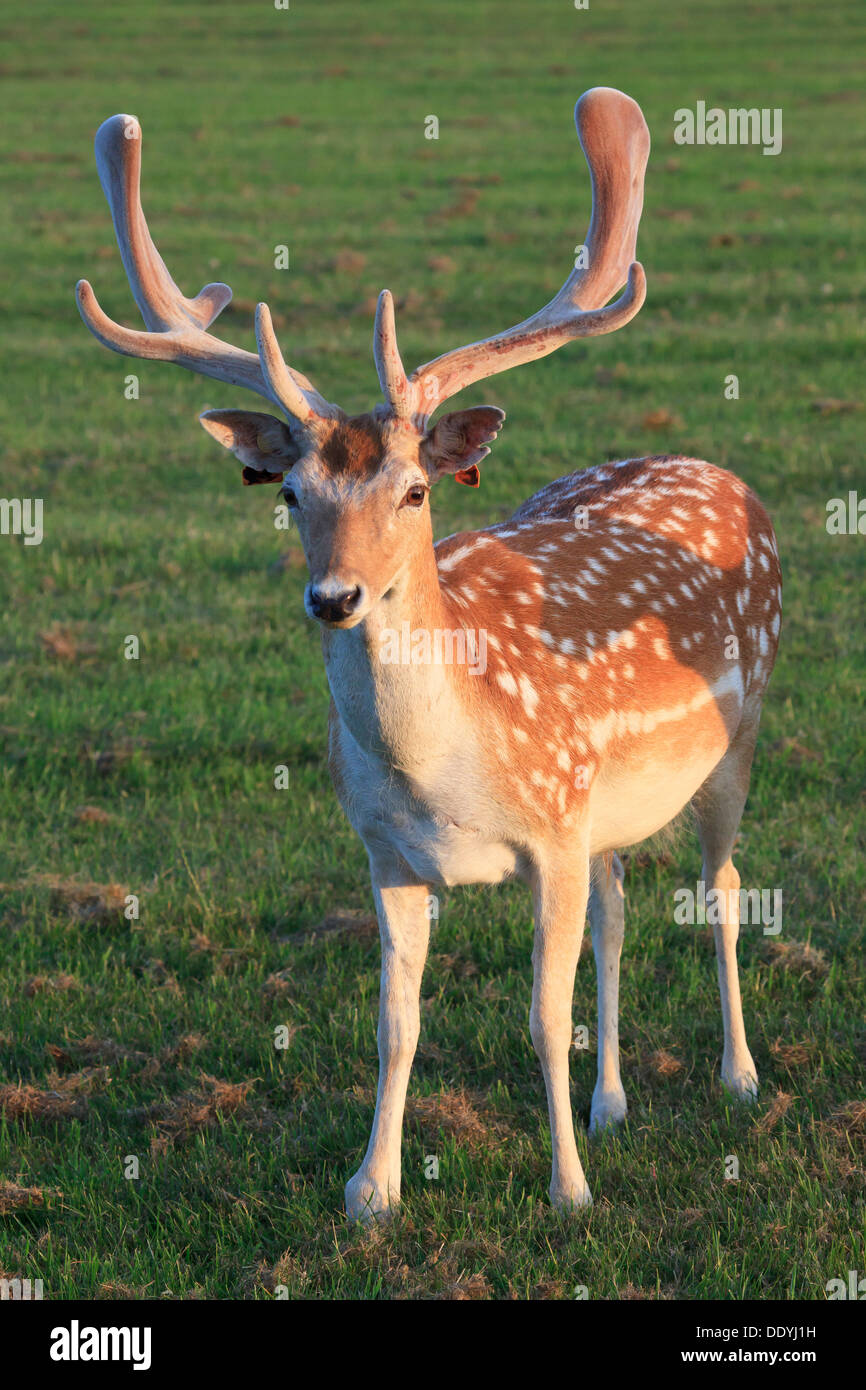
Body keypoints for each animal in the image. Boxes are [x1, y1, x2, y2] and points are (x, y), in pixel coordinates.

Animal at [77, 88, 781, 1221]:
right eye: (290, 493)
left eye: (413, 489)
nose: (334, 597)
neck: (442, 769)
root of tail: (718, 472)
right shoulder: (388, 852)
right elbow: (395, 1021)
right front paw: (372, 1188)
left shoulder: (549, 832)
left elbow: (539, 1016)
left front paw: (567, 1192)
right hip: (605, 805)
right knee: (620, 905)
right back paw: (612, 1102)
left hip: (736, 734)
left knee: (720, 887)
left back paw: (737, 1075)